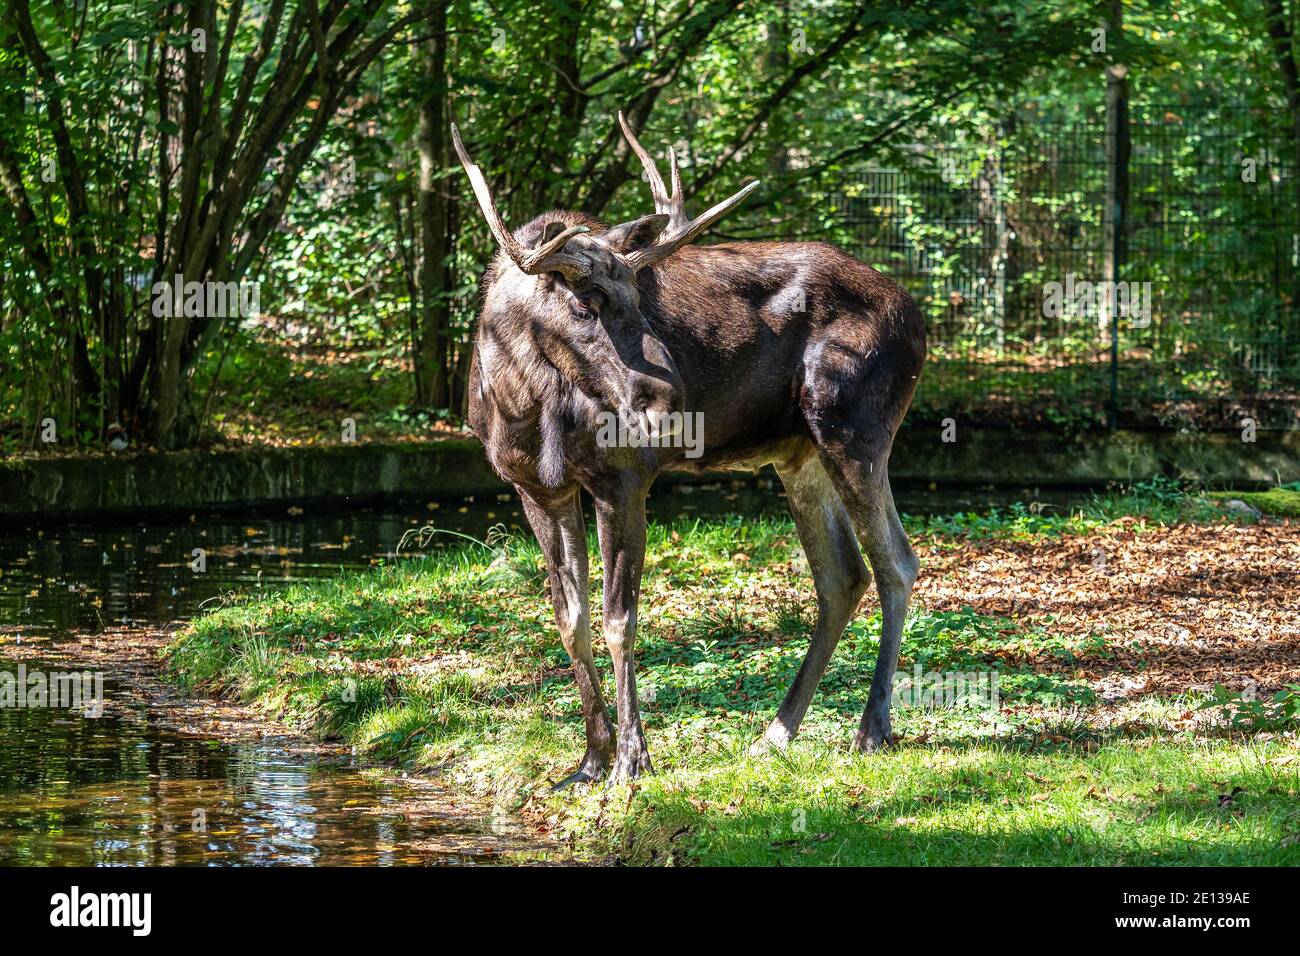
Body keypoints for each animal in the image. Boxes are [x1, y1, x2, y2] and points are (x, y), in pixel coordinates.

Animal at [451, 114, 925, 785]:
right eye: (584, 301)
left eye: (638, 295)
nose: (665, 395)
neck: (521, 402)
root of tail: (921, 319)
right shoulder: (535, 488)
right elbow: (570, 619)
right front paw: (589, 759)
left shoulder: (624, 476)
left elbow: (619, 619)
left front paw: (631, 760)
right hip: (798, 453)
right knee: (842, 576)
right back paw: (775, 733)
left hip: (853, 428)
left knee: (897, 563)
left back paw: (872, 728)